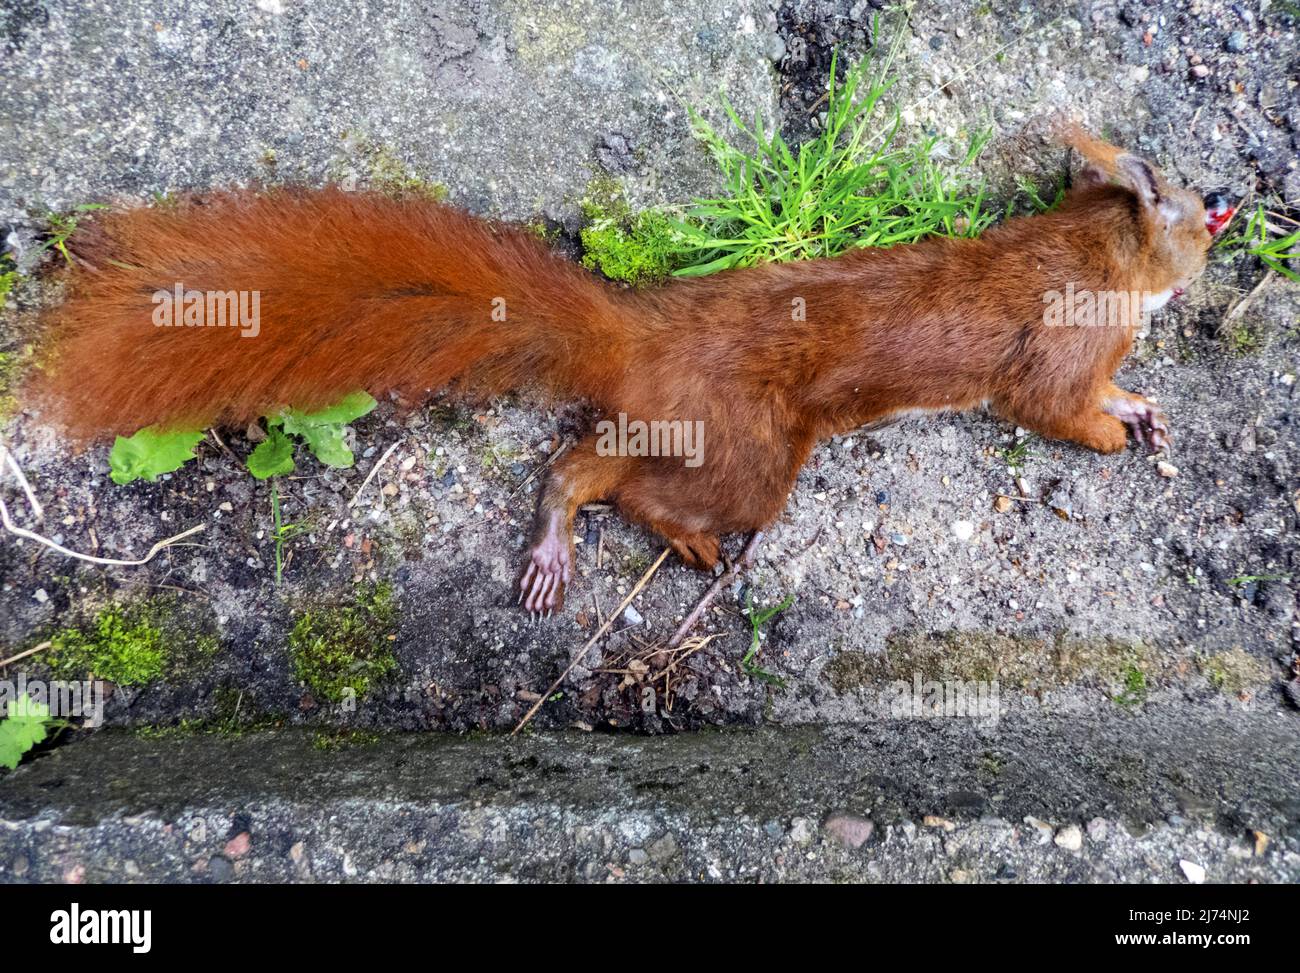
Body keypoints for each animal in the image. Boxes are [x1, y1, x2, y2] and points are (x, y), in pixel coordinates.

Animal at [30, 127, 1235, 616]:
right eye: (1189, 207)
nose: (1234, 193)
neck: (1094, 267)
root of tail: (644, 335)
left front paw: (1144, 407)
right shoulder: (1056, 347)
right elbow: (1050, 406)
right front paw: (1118, 425)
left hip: (681, 424)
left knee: (582, 458)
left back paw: (554, 555)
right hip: (747, 452)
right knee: (621, 488)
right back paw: (662, 552)